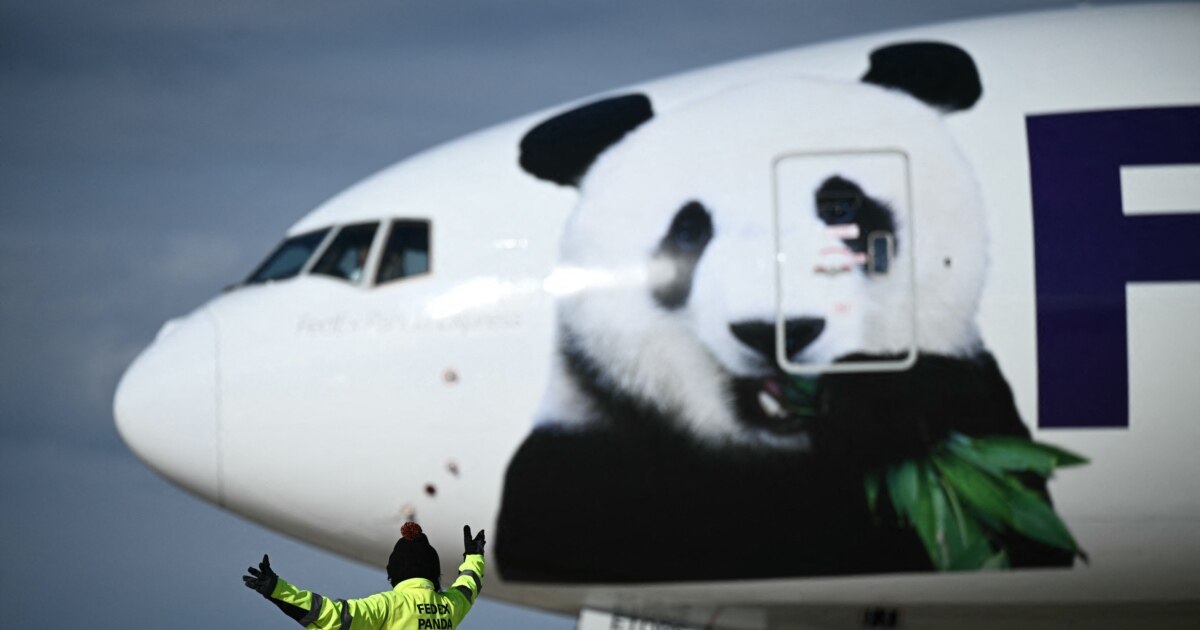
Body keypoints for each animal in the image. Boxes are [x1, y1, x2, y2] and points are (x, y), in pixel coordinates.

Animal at [496, 43, 1072, 583]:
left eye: (841, 207)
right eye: (689, 230)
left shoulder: (987, 428)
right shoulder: (581, 470)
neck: (779, 455)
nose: (776, 332)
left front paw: (881, 403)